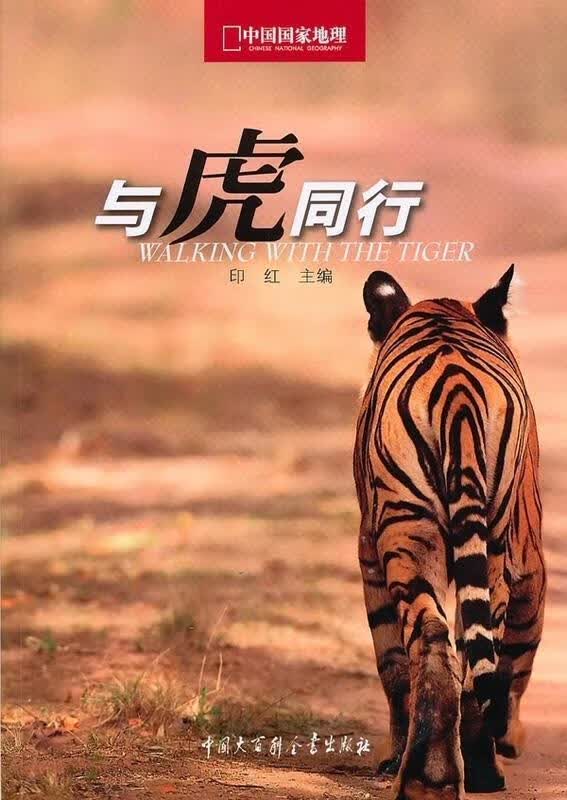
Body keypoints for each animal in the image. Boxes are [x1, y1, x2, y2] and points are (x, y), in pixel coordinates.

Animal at [353, 266, 545, 800]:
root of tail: (457, 388)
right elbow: (511, 666)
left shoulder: (369, 553)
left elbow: (392, 663)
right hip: (486, 543)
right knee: (473, 654)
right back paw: (478, 771)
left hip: (409, 532)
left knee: (434, 640)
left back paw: (427, 778)